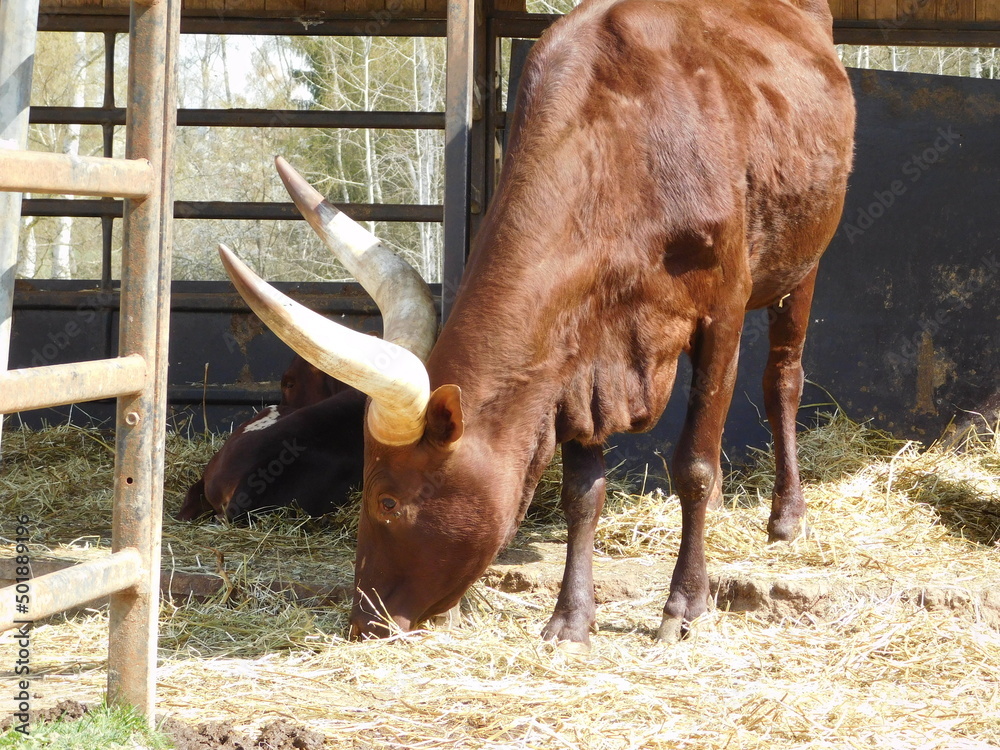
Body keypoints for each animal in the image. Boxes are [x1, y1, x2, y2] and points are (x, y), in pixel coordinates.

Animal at [219, 0, 855, 647]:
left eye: (387, 501)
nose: (364, 620)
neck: (623, 151)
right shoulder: (581, 354)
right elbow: (582, 492)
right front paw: (571, 619)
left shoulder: (720, 311)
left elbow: (693, 467)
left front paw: (684, 605)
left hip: (803, 263)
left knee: (782, 379)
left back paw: (786, 517)